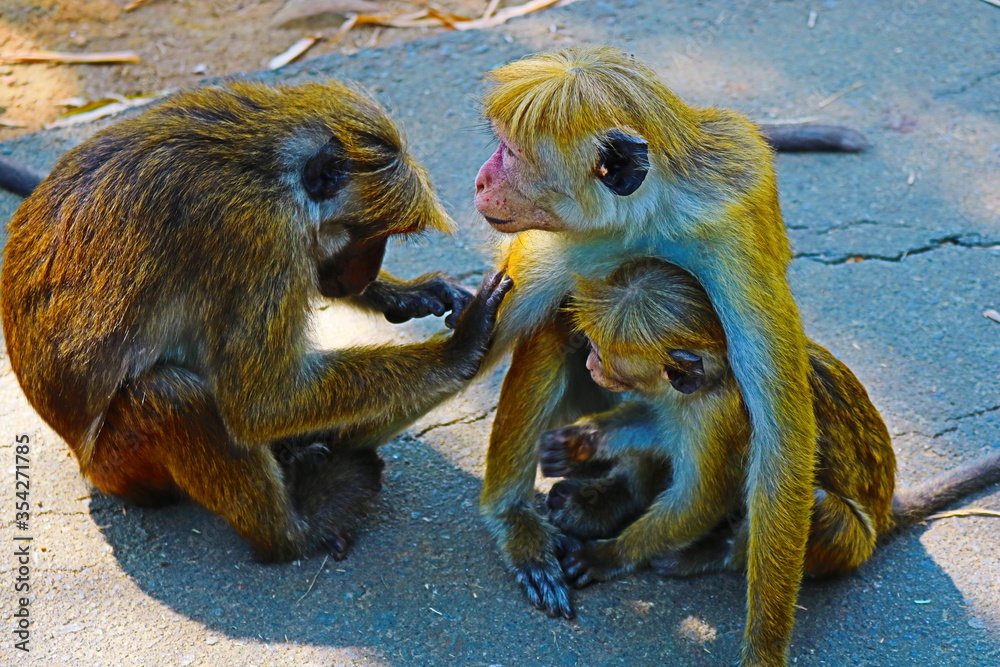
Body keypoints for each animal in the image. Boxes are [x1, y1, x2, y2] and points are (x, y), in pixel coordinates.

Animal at [1, 78, 513, 563]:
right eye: (368, 237)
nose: (364, 276)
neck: (267, 164)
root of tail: (86, 466)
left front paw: (408, 293)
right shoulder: (260, 234)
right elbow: (258, 404)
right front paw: (459, 349)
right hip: (123, 467)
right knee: (171, 392)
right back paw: (292, 534)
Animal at [469, 46, 860, 665]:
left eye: (512, 152)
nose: (481, 178)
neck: (644, 215)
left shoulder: (734, 228)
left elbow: (781, 439)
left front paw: (762, 649)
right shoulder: (567, 239)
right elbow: (485, 347)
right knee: (554, 325)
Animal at [537, 258, 1000, 589]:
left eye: (602, 351)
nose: (591, 362)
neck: (717, 373)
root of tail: (885, 512)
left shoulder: (721, 415)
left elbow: (701, 499)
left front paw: (609, 555)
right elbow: (659, 421)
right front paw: (584, 439)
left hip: (849, 545)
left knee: (810, 503)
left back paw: (716, 554)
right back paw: (608, 499)